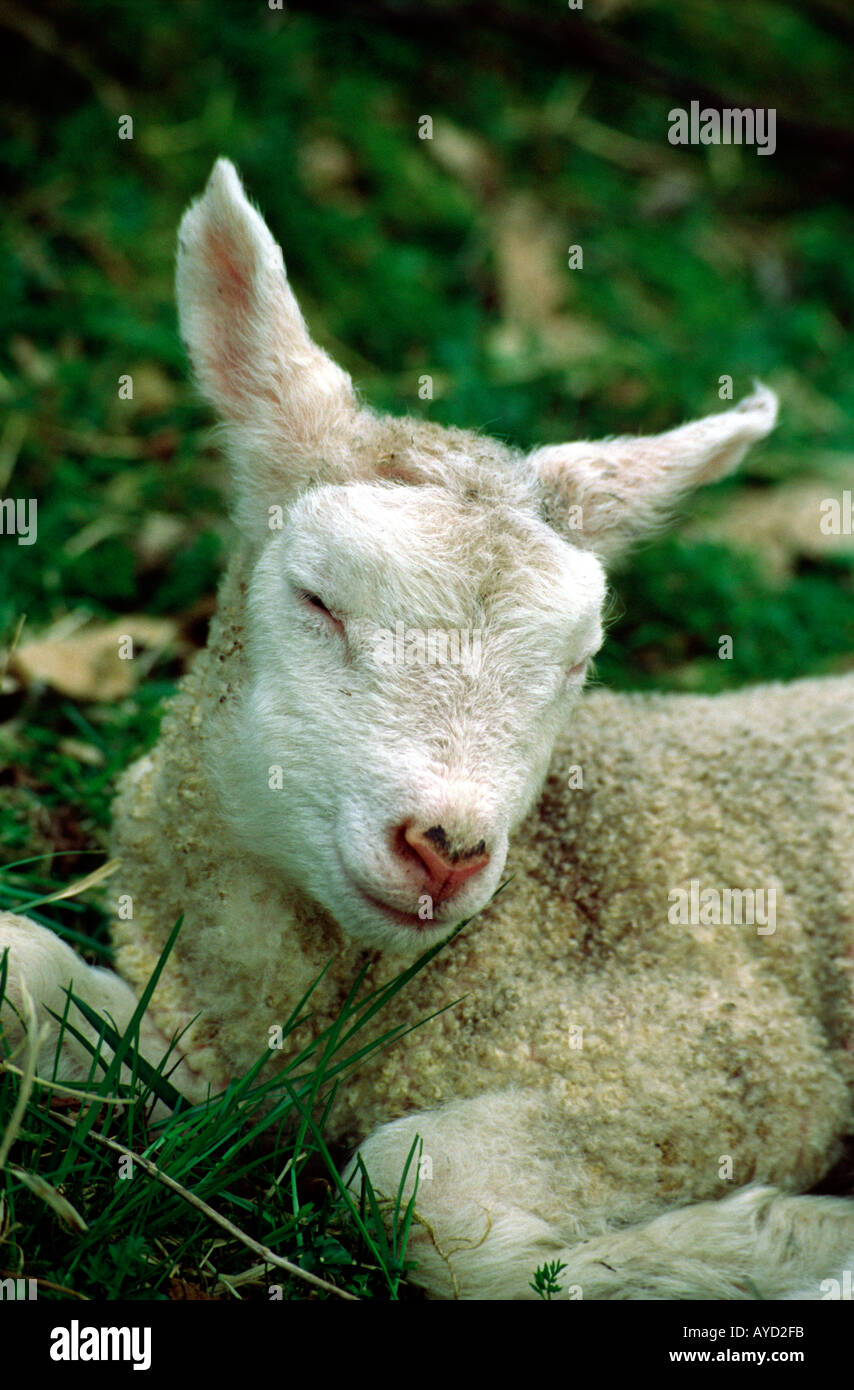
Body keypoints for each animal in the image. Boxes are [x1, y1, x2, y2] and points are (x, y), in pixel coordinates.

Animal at [3, 157, 854, 1300]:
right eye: (318, 600)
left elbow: (417, 1188)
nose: (445, 848)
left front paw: (777, 1242)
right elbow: (33, 976)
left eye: (578, 661)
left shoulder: (733, 1065)